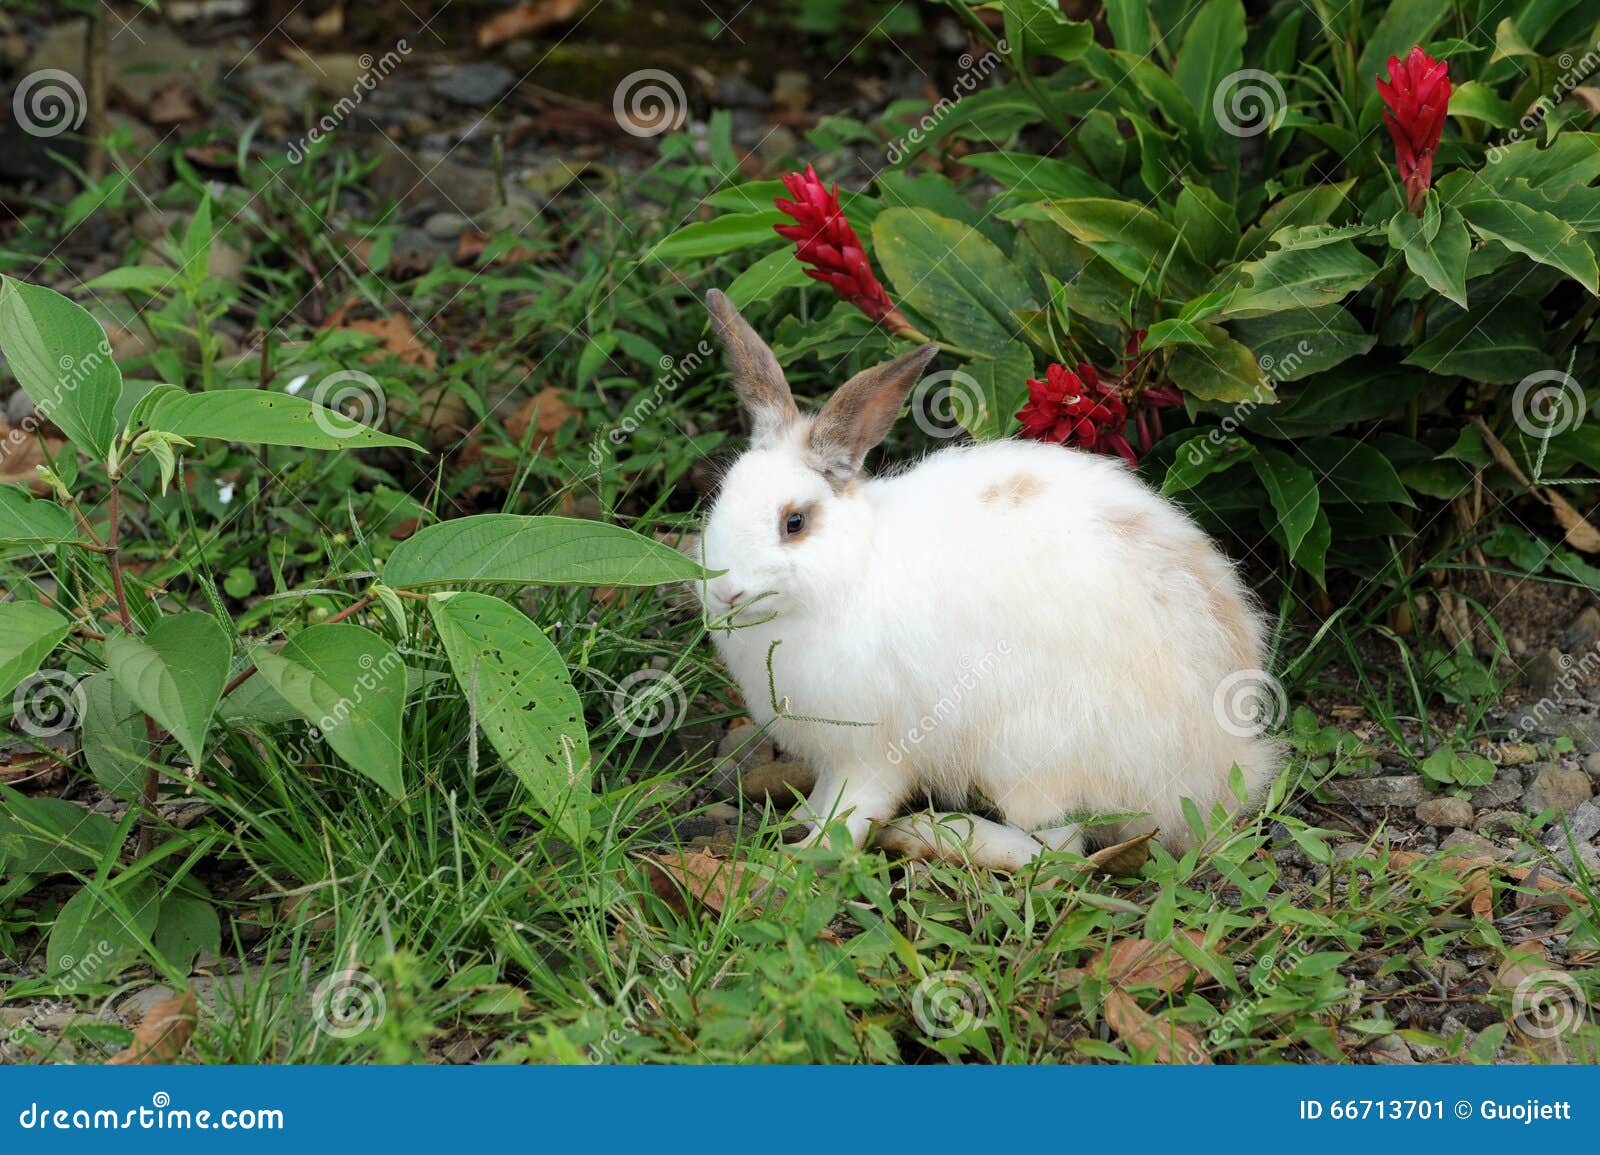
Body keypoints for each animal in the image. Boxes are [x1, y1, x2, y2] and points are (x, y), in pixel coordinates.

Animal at [695, 289, 1281, 870]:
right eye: (720, 498)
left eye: (794, 522)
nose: (724, 591)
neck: (848, 569)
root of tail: (1221, 768)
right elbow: (823, 794)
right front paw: (797, 818)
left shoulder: (873, 750)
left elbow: (854, 809)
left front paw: (806, 853)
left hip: (1030, 755)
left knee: (1060, 855)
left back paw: (932, 834)